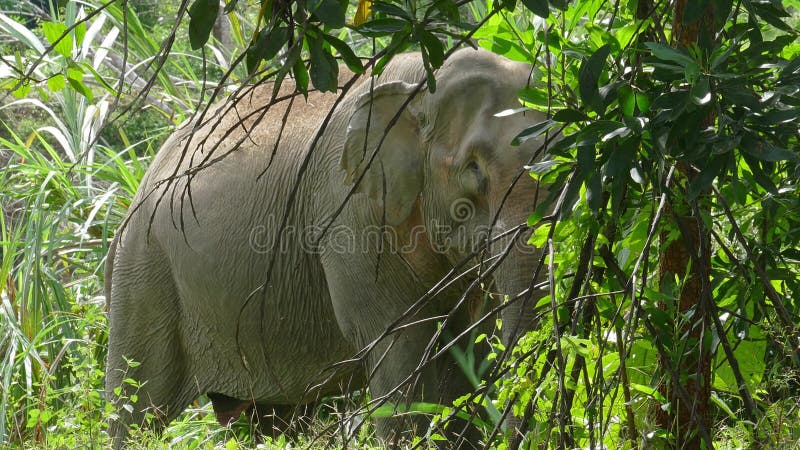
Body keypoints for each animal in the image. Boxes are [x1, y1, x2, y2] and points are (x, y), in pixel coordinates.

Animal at [104, 47, 549, 448]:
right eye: (473, 169)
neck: (421, 85)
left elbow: (468, 349)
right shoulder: (349, 219)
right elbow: (401, 349)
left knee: (272, 418)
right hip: (143, 275)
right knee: (137, 407)